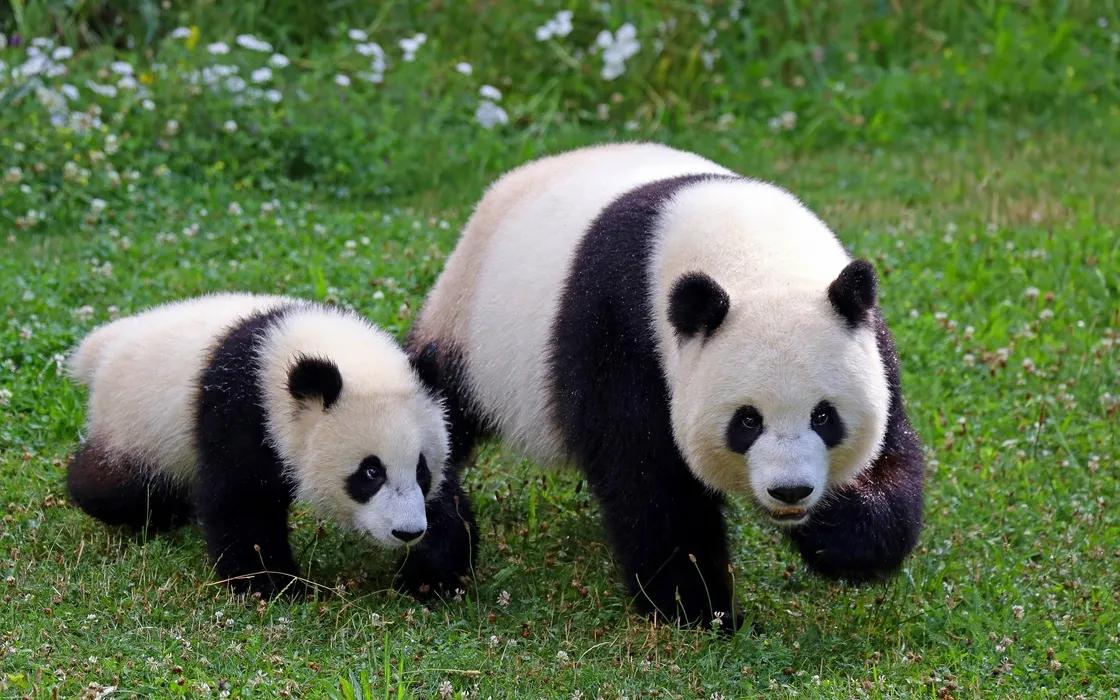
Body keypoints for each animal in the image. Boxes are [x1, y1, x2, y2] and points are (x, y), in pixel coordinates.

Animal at [67, 293, 476, 598]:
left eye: (422, 470)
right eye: (370, 472)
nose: (407, 532)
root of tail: (104, 348)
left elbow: (448, 504)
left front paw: (431, 576)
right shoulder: (241, 408)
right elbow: (242, 499)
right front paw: (275, 585)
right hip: (138, 428)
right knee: (117, 488)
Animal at [408, 143, 925, 629]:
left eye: (824, 416)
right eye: (747, 421)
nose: (791, 491)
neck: (752, 252)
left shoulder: (870, 338)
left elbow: (890, 466)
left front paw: (836, 530)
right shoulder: (623, 332)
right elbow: (651, 483)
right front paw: (702, 611)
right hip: (470, 327)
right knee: (435, 414)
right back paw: (437, 557)